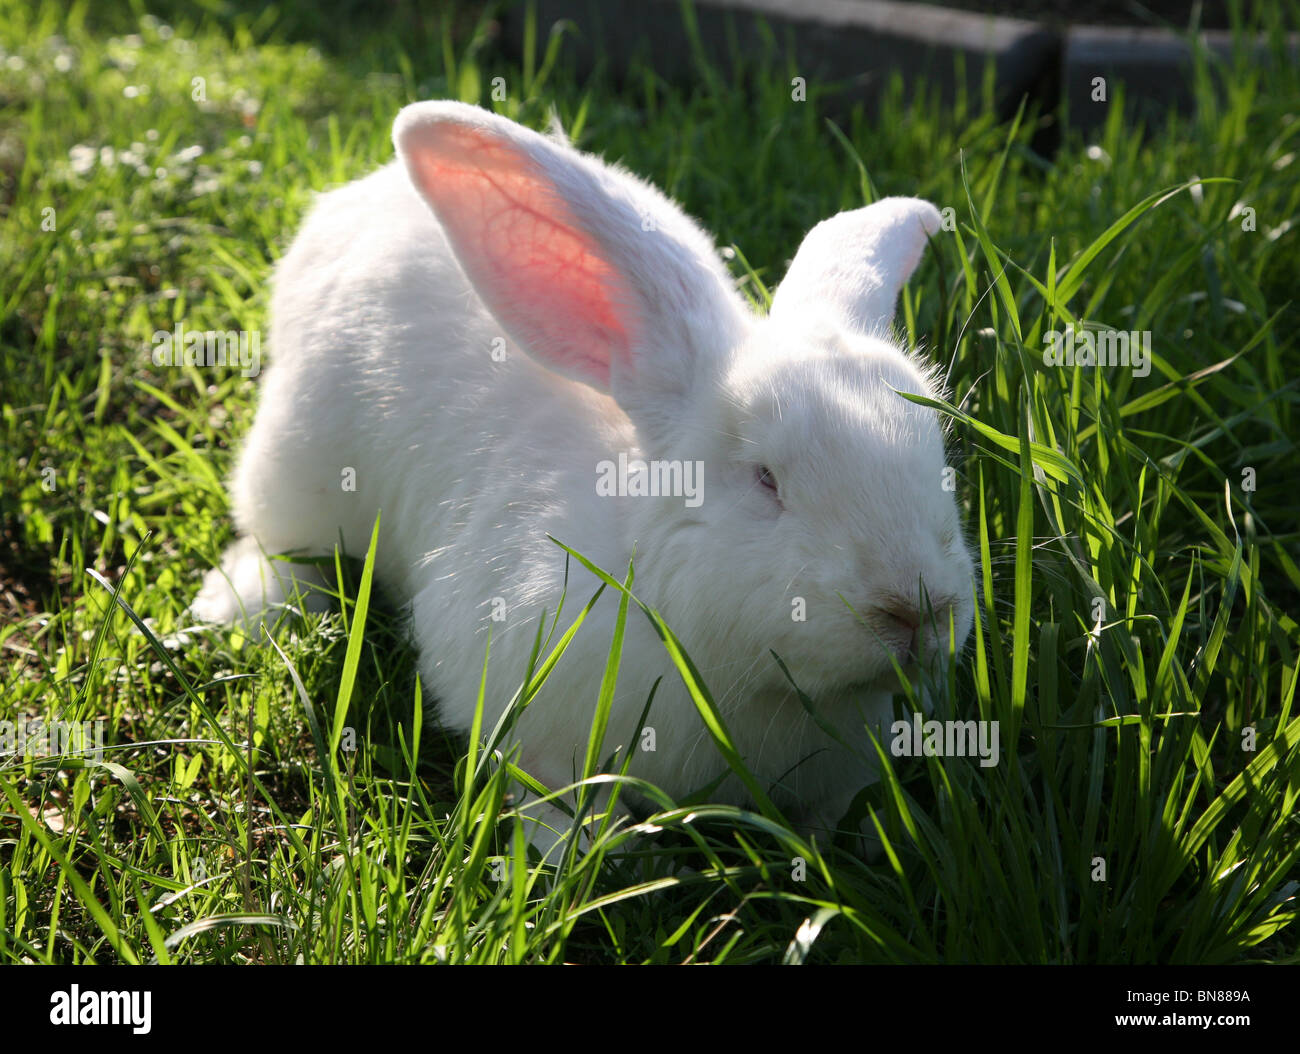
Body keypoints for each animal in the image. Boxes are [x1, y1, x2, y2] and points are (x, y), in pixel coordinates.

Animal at [192, 100, 976, 855]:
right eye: (765, 479)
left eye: (935, 458)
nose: (917, 610)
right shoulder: (529, 716)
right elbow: (558, 800)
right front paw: (599, 854)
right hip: (303, 458)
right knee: (283, 542)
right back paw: (243, 606)